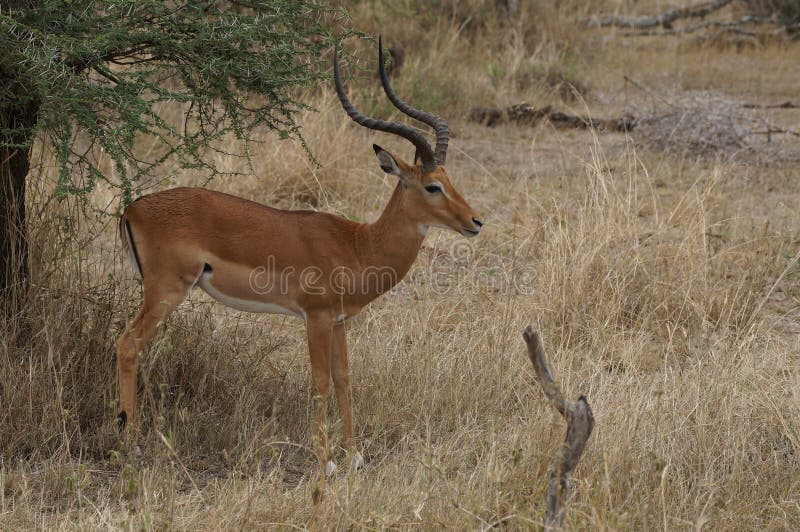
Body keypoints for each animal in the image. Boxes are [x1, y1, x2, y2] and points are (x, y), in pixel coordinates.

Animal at [115, 38, 483, 473]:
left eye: (448, 179)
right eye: (431, 186)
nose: (476, 222)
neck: (357, 245)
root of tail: (131, 208)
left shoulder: (340, 321)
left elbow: (343, 377)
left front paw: (354, 455)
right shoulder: (317, 318)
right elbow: (319, 380)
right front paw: (325, 461)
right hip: (166, 291)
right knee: (127, 344)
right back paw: (130, 447)